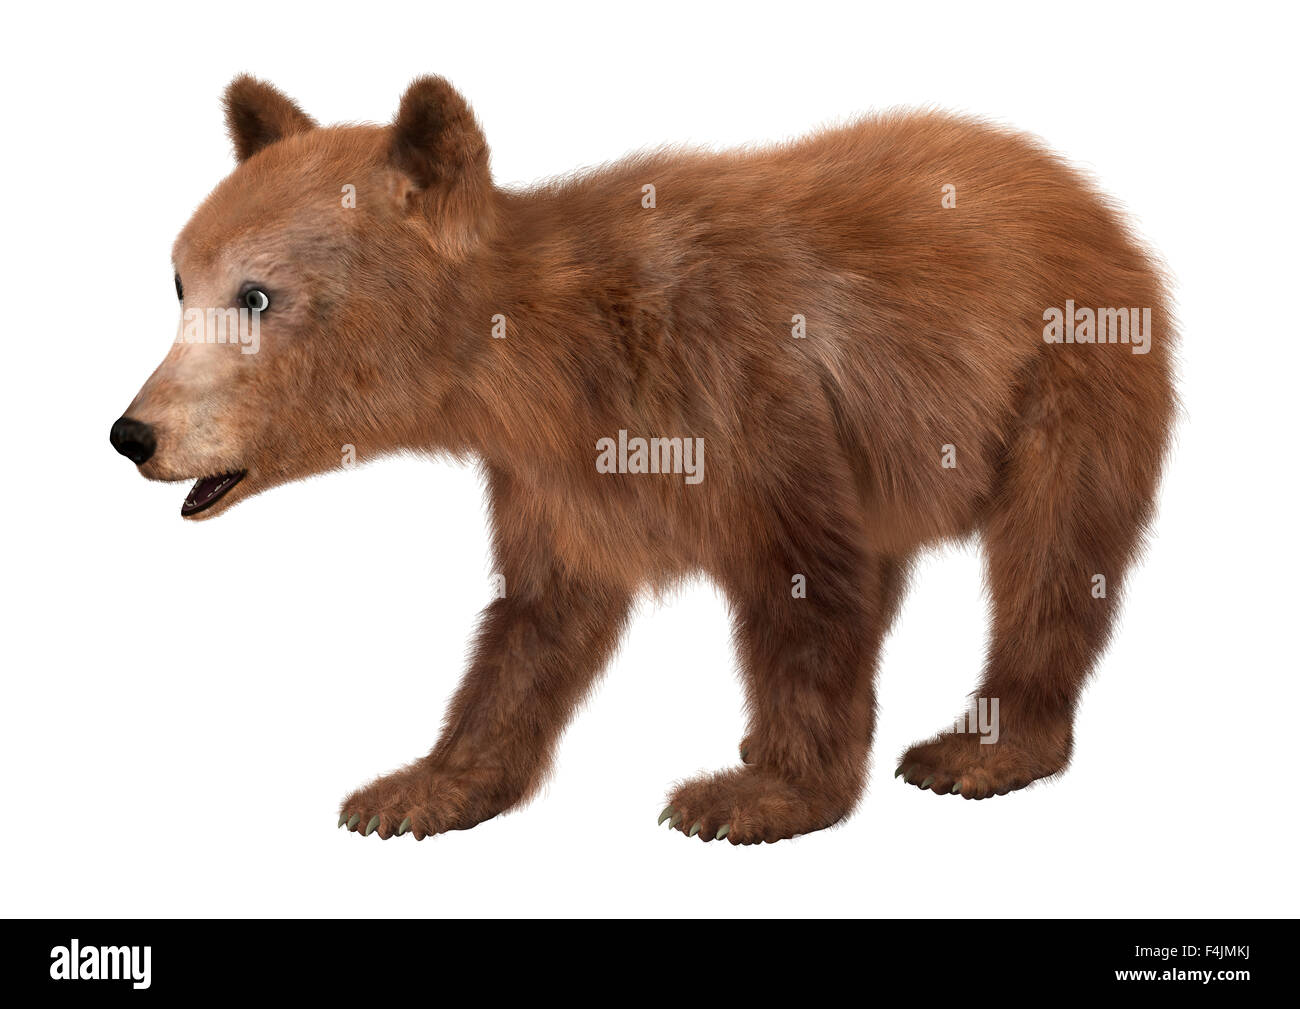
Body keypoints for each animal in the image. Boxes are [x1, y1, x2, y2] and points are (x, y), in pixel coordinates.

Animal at [110, 75, 1176, 844]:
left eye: (256, 294)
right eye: (179, 283)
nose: (133, 433)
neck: (542, 367)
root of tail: (1084, 191)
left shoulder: (736, 386)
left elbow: (805, 580)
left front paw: (755, 795)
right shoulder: (548, 474)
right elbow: (541, 615)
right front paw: (418, 787)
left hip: (1068, 372)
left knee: (1051, 554)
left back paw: (984, 749)